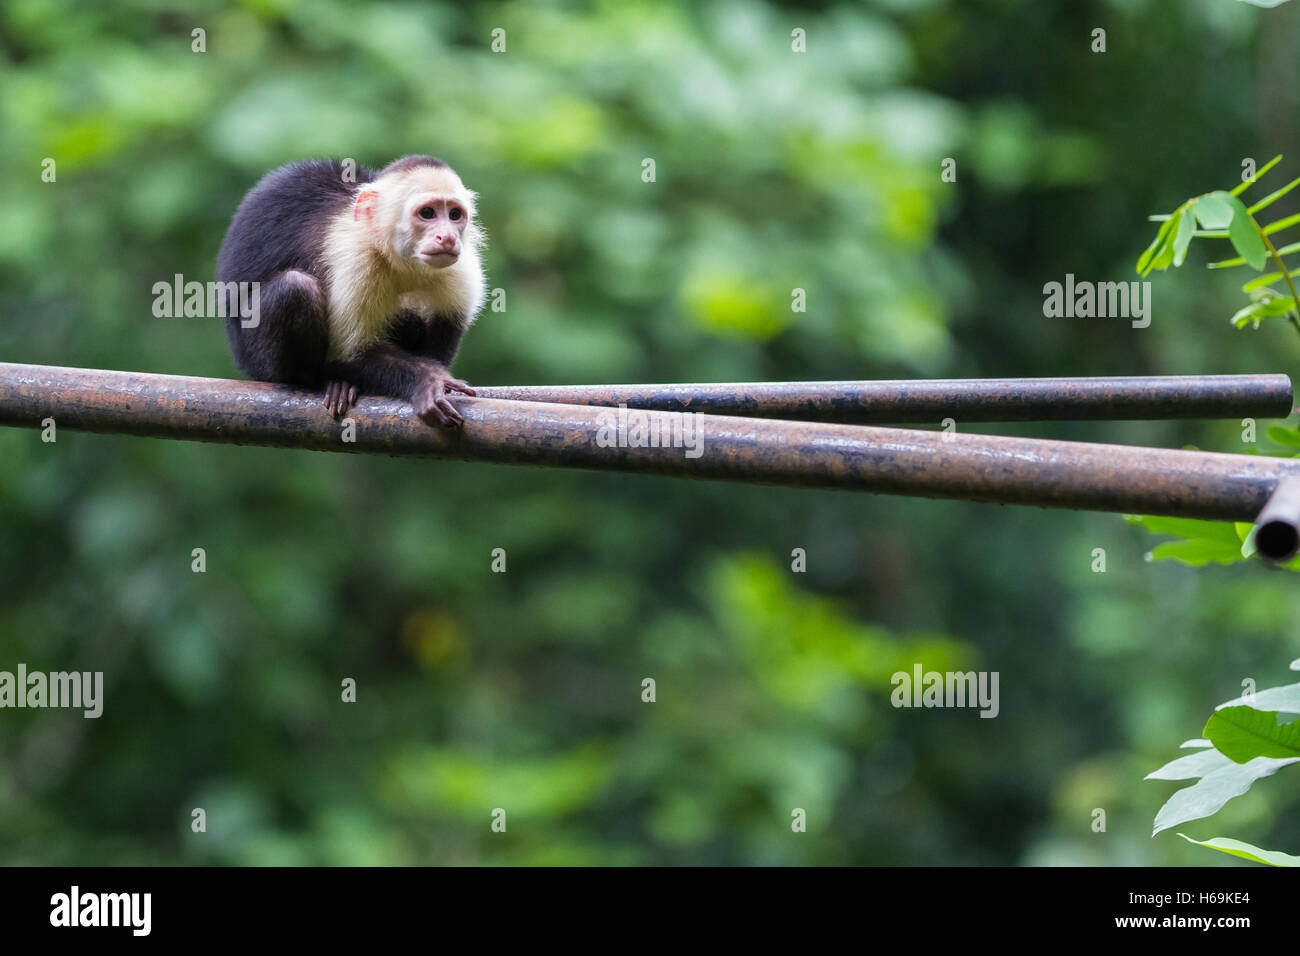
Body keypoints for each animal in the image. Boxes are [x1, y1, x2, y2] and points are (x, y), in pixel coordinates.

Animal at [216, 155, 487, 426]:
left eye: (454, 214)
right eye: (427, 213)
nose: (448, 237)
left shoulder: (461, 270)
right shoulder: (355, 255)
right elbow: (348, 354)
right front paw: (428, 380)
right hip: (251, 356)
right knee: (295, 287)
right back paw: (324, 381)